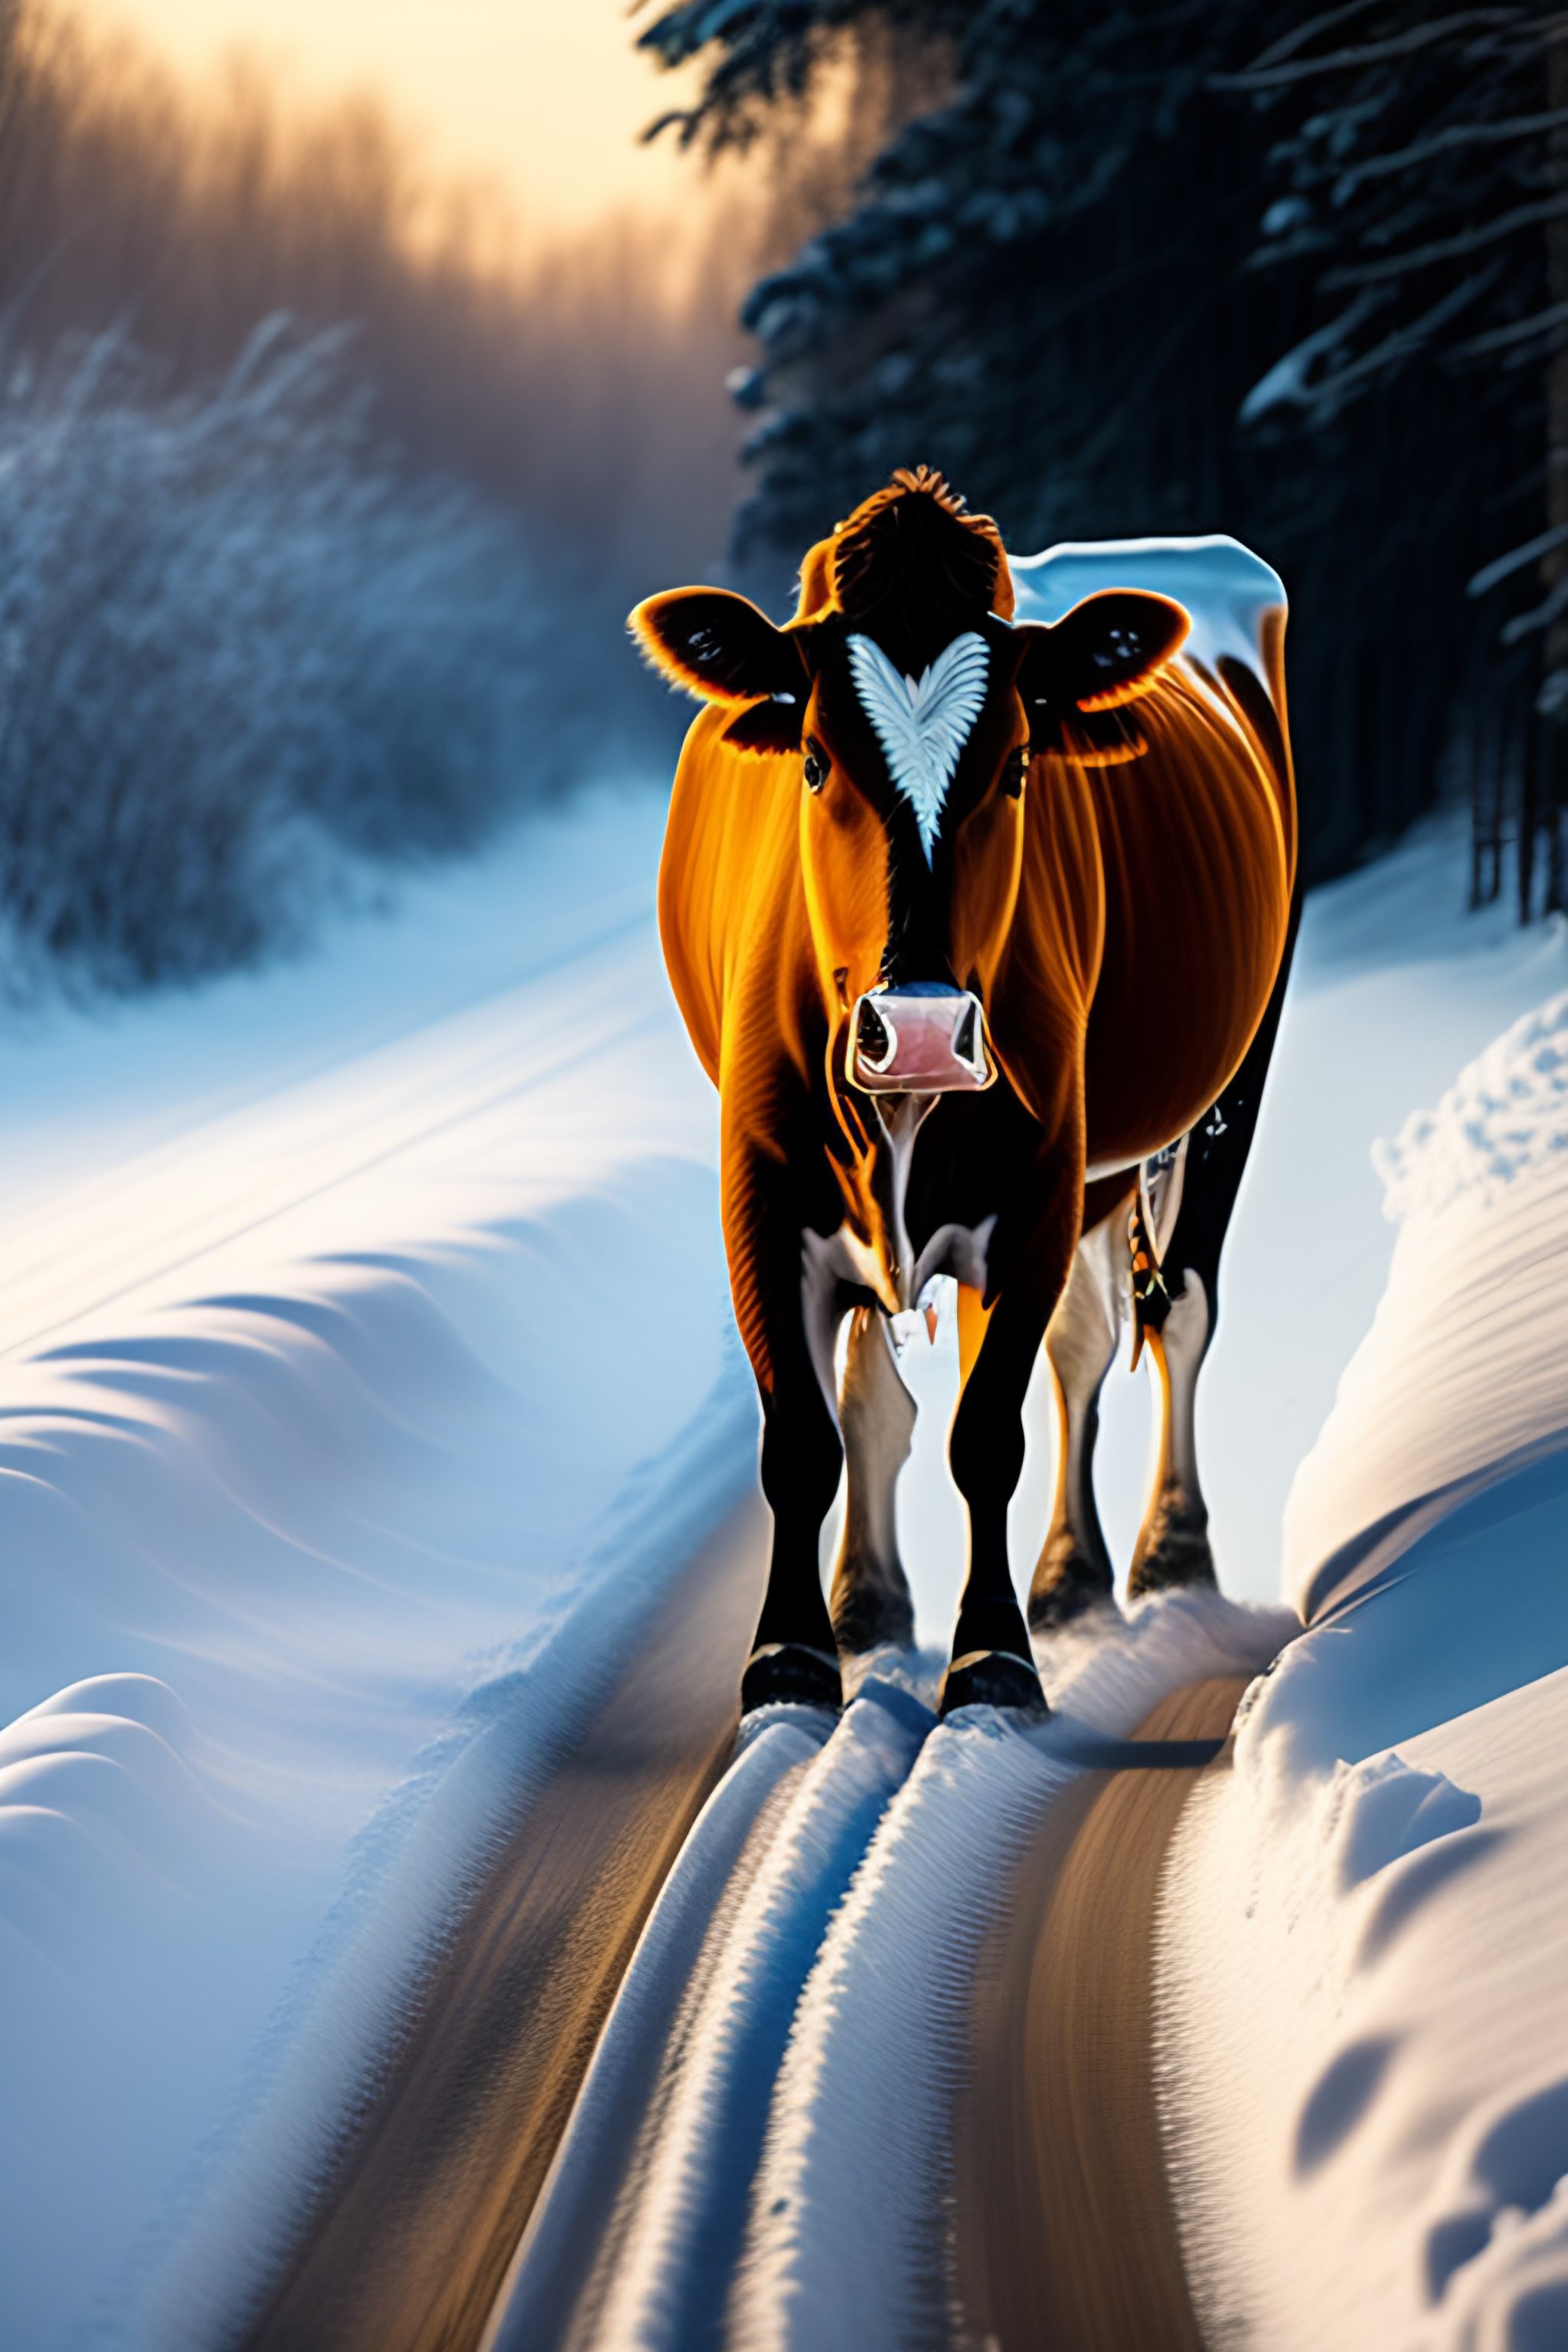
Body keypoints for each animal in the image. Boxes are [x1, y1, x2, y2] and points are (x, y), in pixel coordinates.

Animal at [632, 468, 1295, 1719]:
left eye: (1020, 765)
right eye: (811, 761)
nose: (926, 1034)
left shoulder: (1030, 1190)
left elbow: (987, 1431)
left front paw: (992, 1657)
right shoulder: (763, 1192)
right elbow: (808, 1434)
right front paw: (797, 1656)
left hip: (1226, 1082)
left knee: (1174, 1310)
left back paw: (1162, 1557)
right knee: (1051, 1350)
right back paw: (999, 1587)